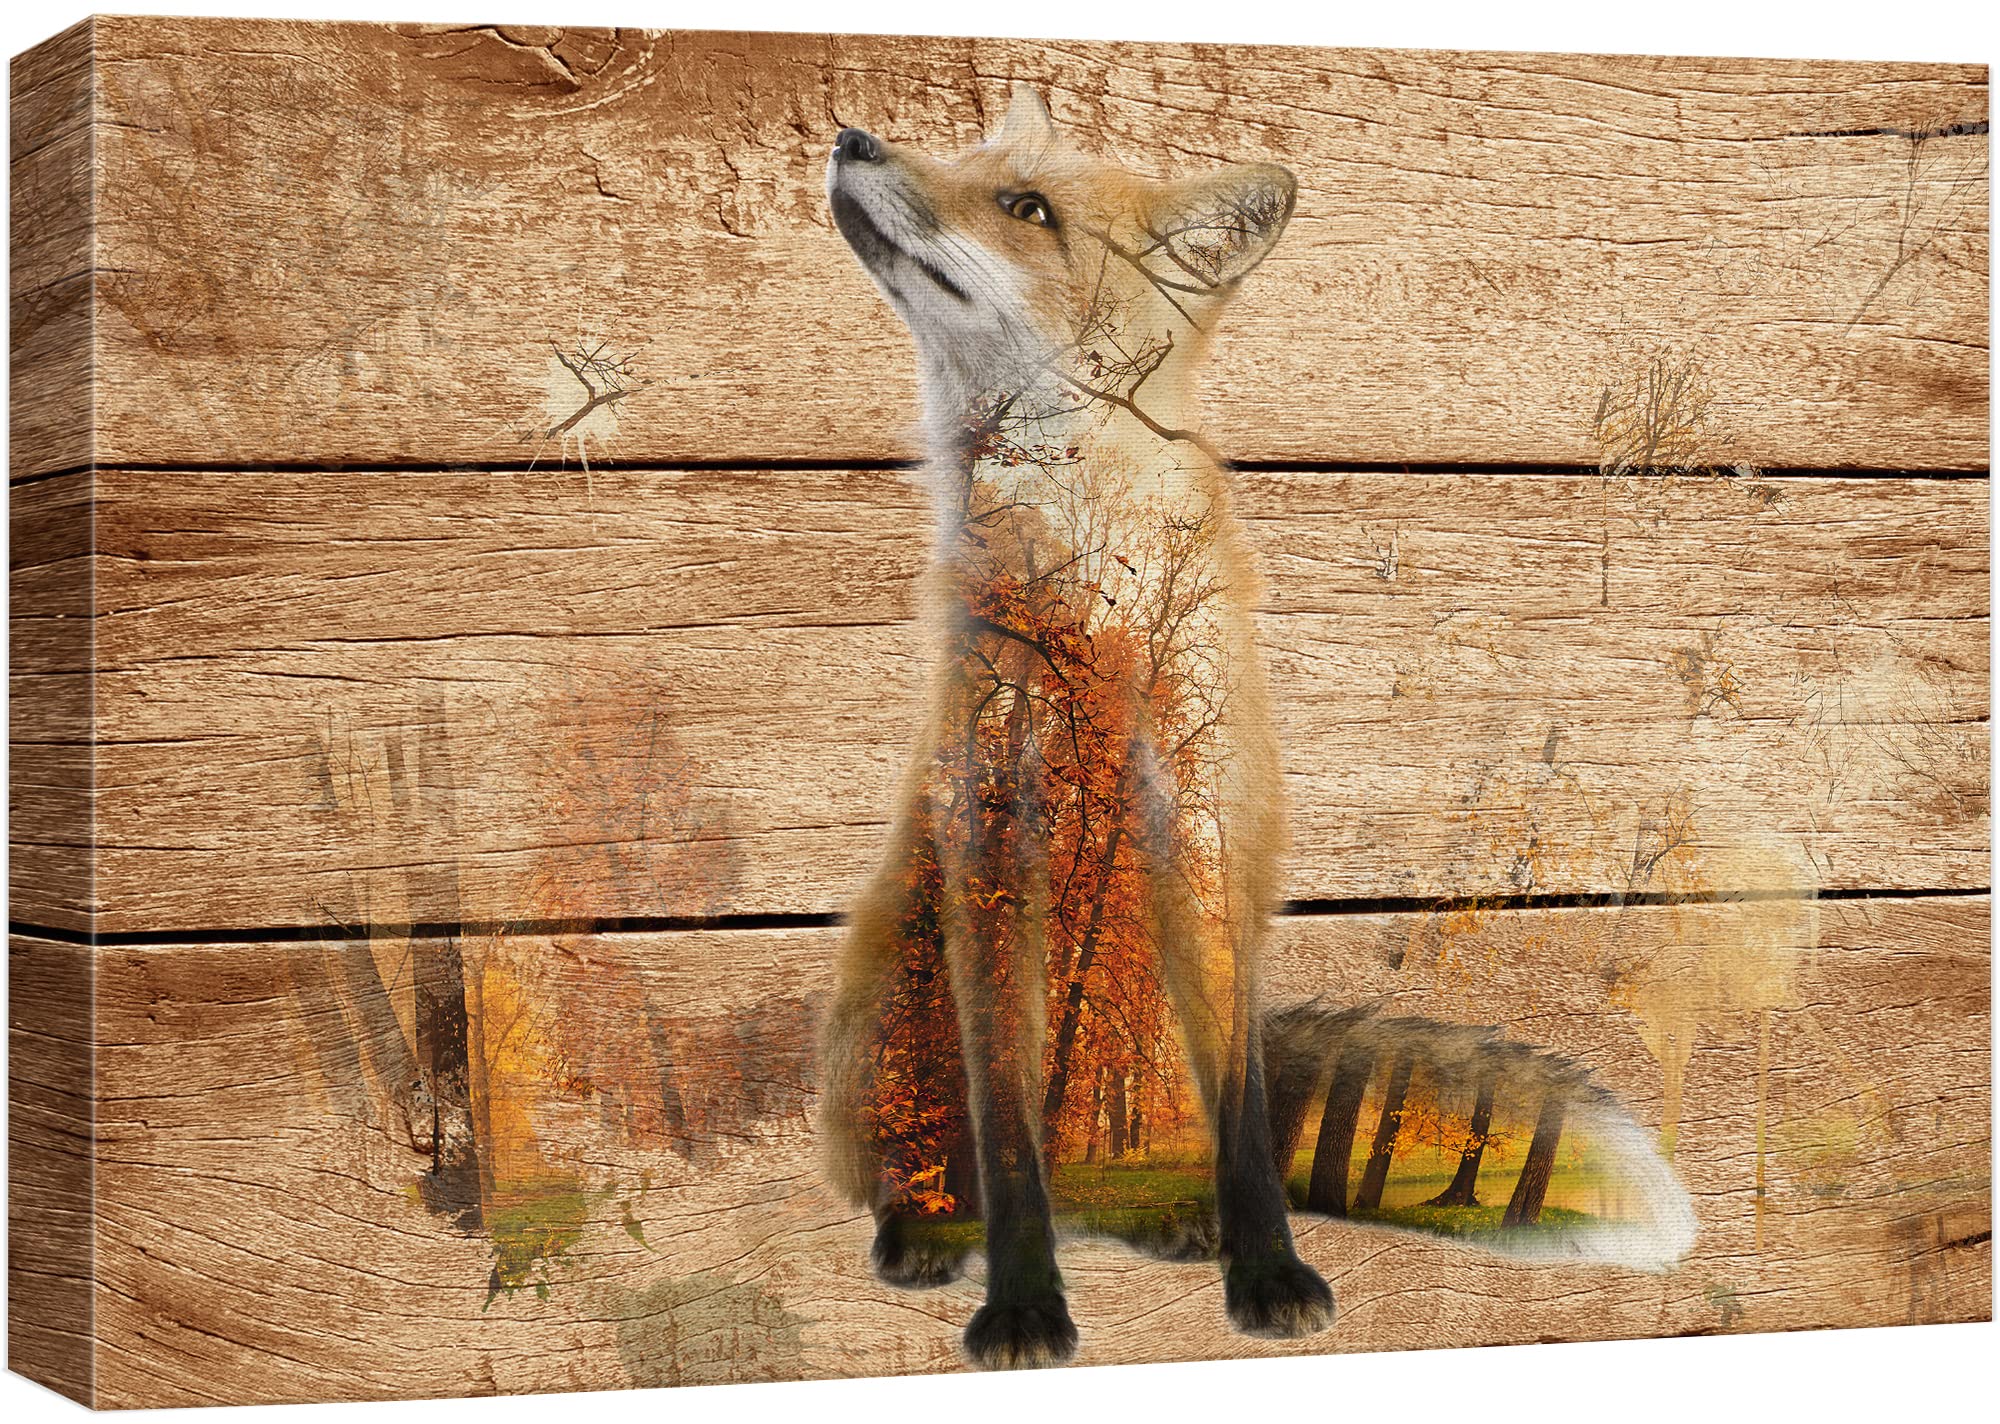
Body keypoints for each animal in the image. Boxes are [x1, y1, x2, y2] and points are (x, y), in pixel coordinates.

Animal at [818, 85, 1696, 1370]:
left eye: (1023, 205)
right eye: (969, 161)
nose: (850, 140)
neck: (1095, 616)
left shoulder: (1206, 833)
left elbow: (1239, 1118)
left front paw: (1267, 1268)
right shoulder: (992, 846)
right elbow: (1006, 1124)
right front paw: (1024, 1304)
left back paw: (1177, 1217)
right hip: (900, 978)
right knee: (954, 1156)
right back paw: (930, 1227)